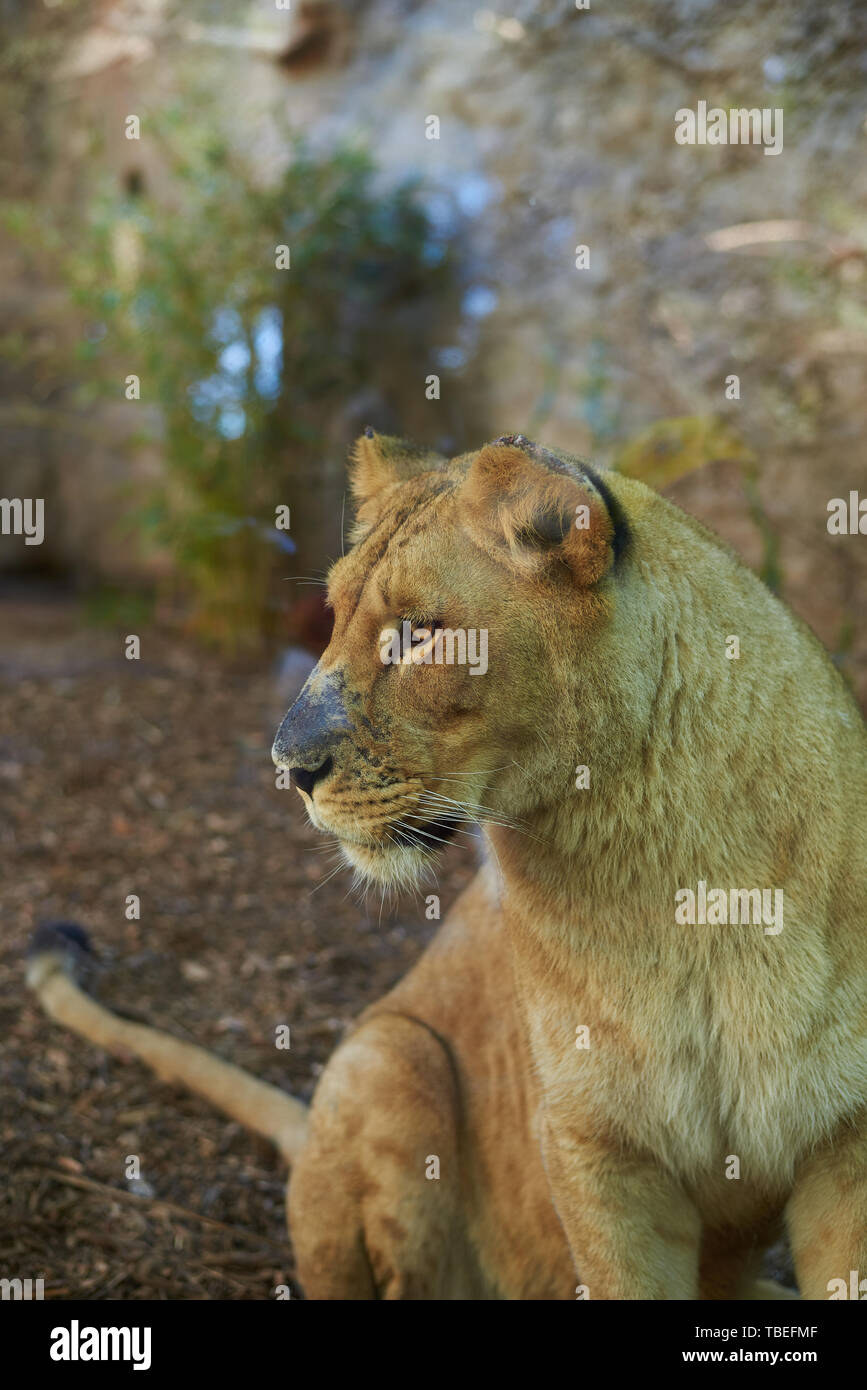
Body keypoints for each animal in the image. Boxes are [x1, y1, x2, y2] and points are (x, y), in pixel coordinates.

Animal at [31, 429, 862, 1299]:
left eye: (420, 633)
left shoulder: (845, 1148)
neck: (668, 869)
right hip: (388, 1055)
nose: (286, 767)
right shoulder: (594, 1150)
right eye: (334, 617)